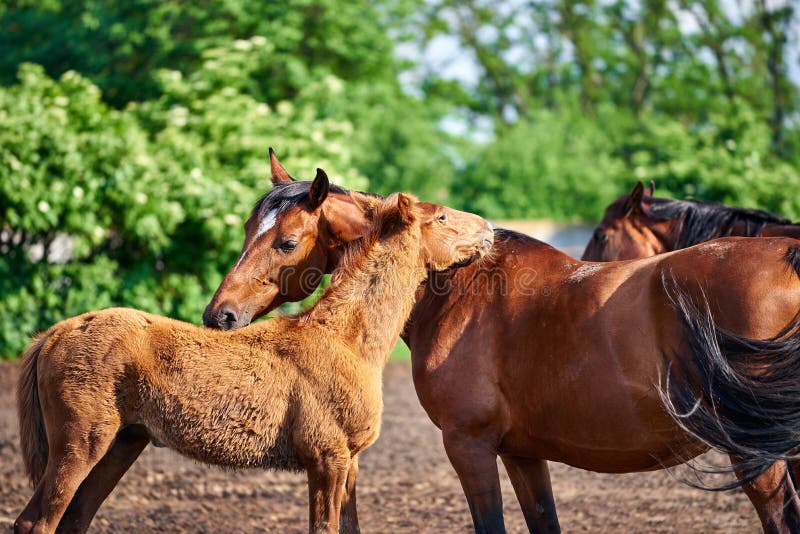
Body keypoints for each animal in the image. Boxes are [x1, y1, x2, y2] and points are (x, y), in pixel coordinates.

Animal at [13, 188, 494, 534]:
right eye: (442, 217)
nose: (489, 229)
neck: (344, 340)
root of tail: (54, 334)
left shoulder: (350, 461)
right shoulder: (326, 459)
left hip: (121, 444)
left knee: (73, 520)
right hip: (78, 446)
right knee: (36, 522)